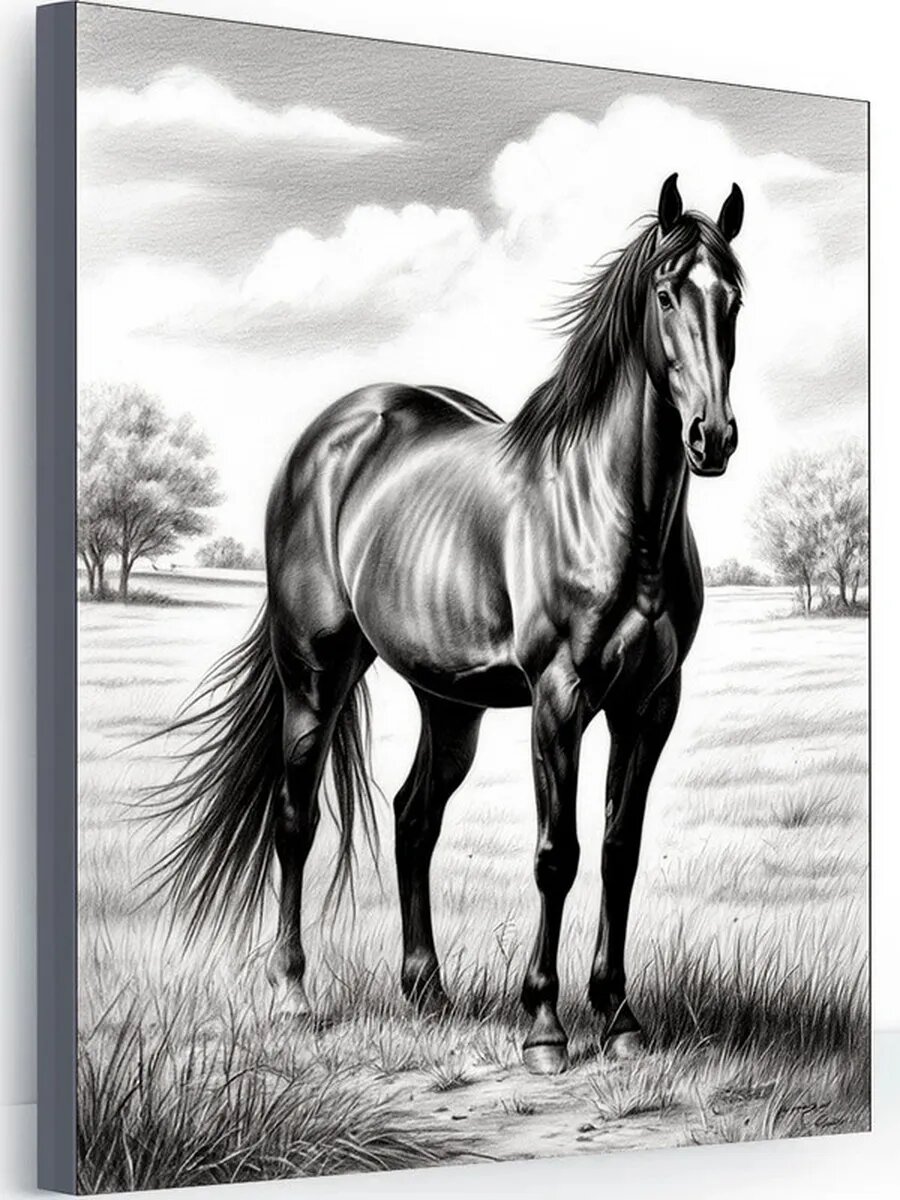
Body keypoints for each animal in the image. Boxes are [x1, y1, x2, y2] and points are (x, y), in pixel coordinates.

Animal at [149, 173, 745, 1075]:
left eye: (736, 298)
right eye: (668, 293)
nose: (712, 438)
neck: (615, 513)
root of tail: (330, 434)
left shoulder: (650, 705)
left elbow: (620, 852)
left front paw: (620, 1017)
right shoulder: (559, 700)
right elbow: (558, 855)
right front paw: (545, 1026)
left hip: (450, 700)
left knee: (412, 819)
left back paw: (426, 990)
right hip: (316, 672)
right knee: (295, 819)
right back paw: (292, 995)